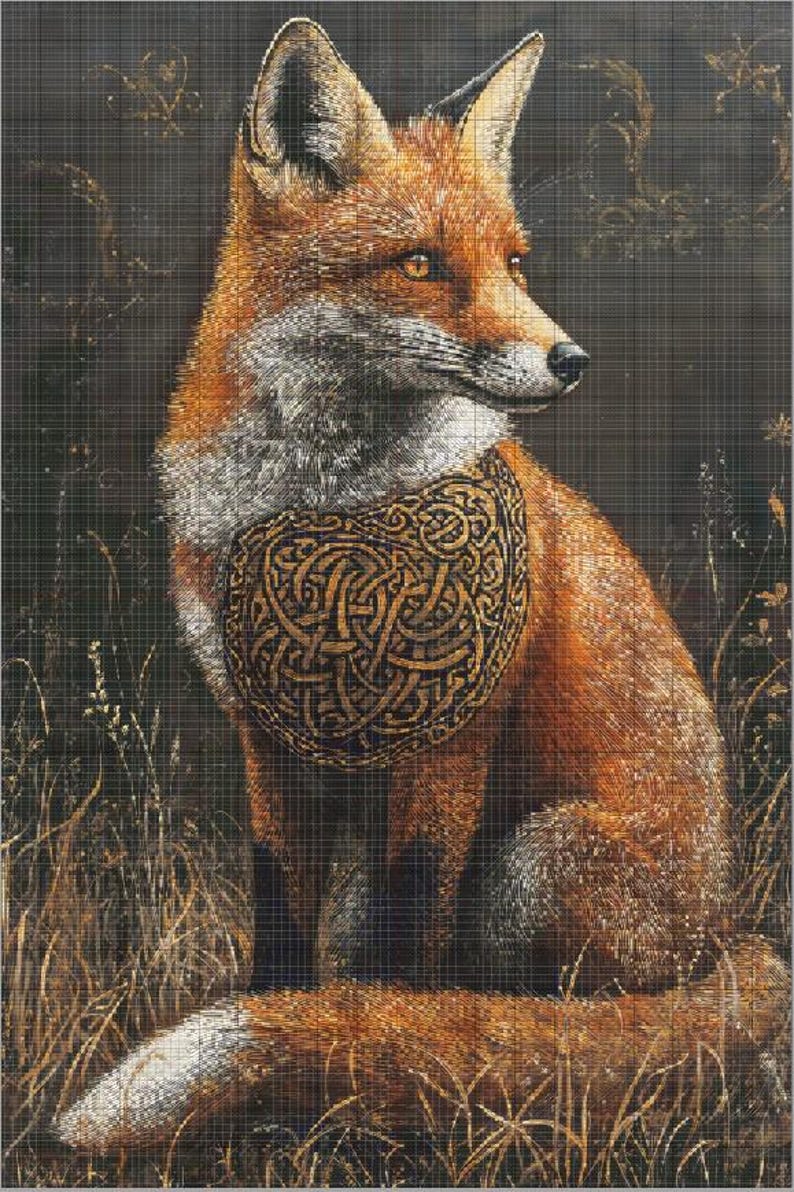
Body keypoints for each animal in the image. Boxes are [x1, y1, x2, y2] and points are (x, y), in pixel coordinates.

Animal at [55, 19, 789, 1152]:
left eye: (514, 261)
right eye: (419, 264)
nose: (571, 359)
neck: (324, 509)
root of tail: (729, 934)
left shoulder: (448, 742)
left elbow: (406, 973)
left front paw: (376, 1076)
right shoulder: (265, 740)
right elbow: (281, 934)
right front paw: (296, 1083)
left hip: (540, 855)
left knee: (571, 1014)